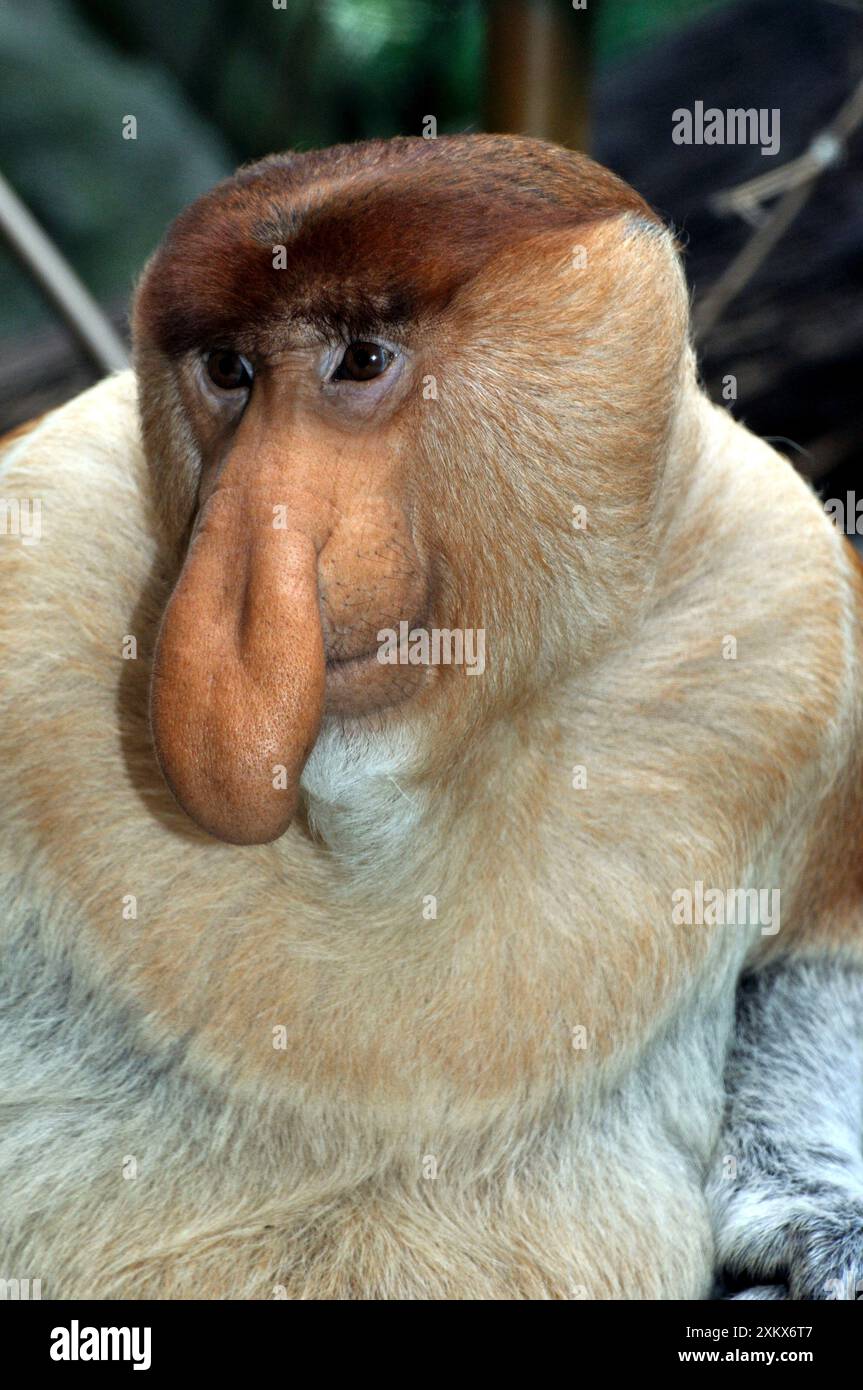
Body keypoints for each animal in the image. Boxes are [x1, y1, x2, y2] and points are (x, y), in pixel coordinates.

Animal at [1, 133, 862, 1300]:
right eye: (229, 372)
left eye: (362, 360)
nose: (241, 581)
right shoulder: (38, 551)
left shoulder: (786, 597)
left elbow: (821, 967)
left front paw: (821, 1229)